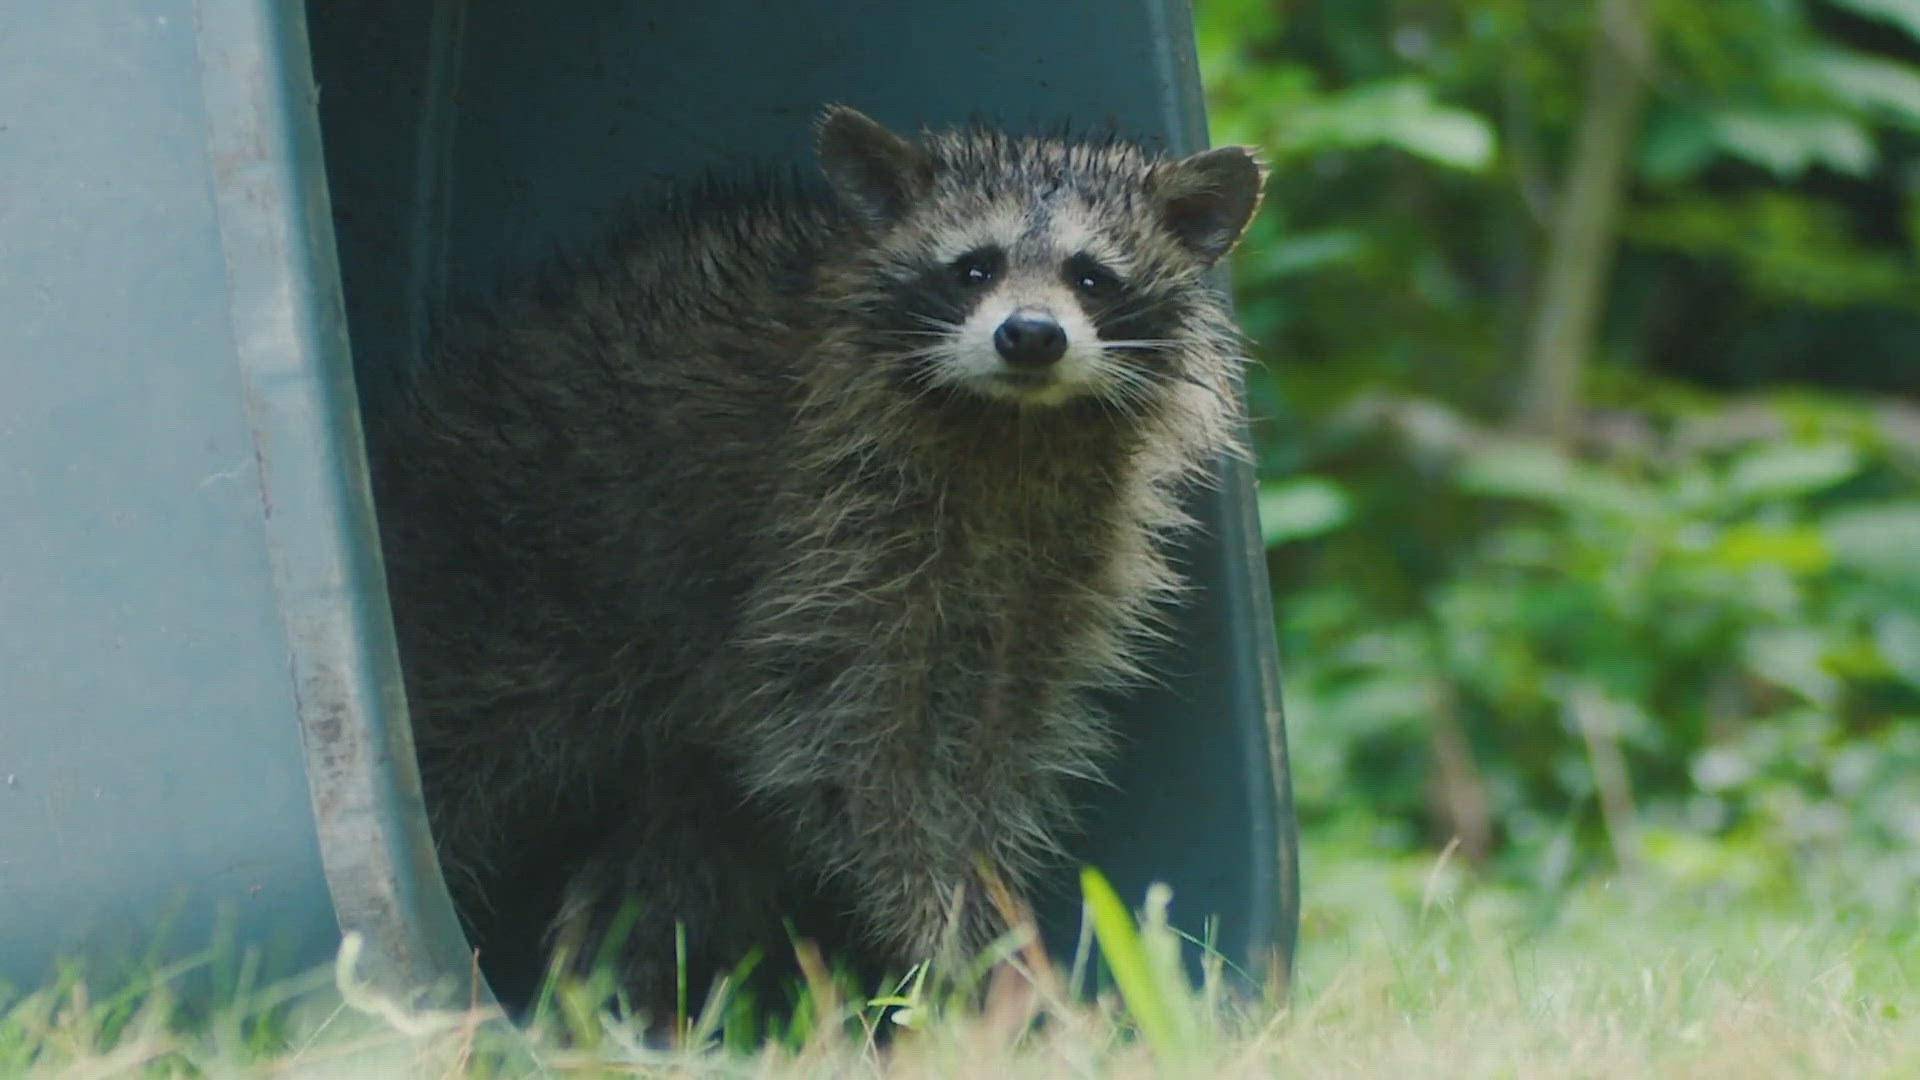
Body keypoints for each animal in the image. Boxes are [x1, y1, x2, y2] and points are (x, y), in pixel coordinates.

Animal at [366, 106, 1265, 1016]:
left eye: (1091, 278)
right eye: (974, 267)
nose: (1030, 336)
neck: (1014, 423)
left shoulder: (1053, 571)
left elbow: (997, 744)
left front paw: (987, 910)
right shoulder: (825, 537)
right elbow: (862, 755)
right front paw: (950, 932)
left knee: (678, 854)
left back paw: (604, 990)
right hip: (505, 575)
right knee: (455, 737)